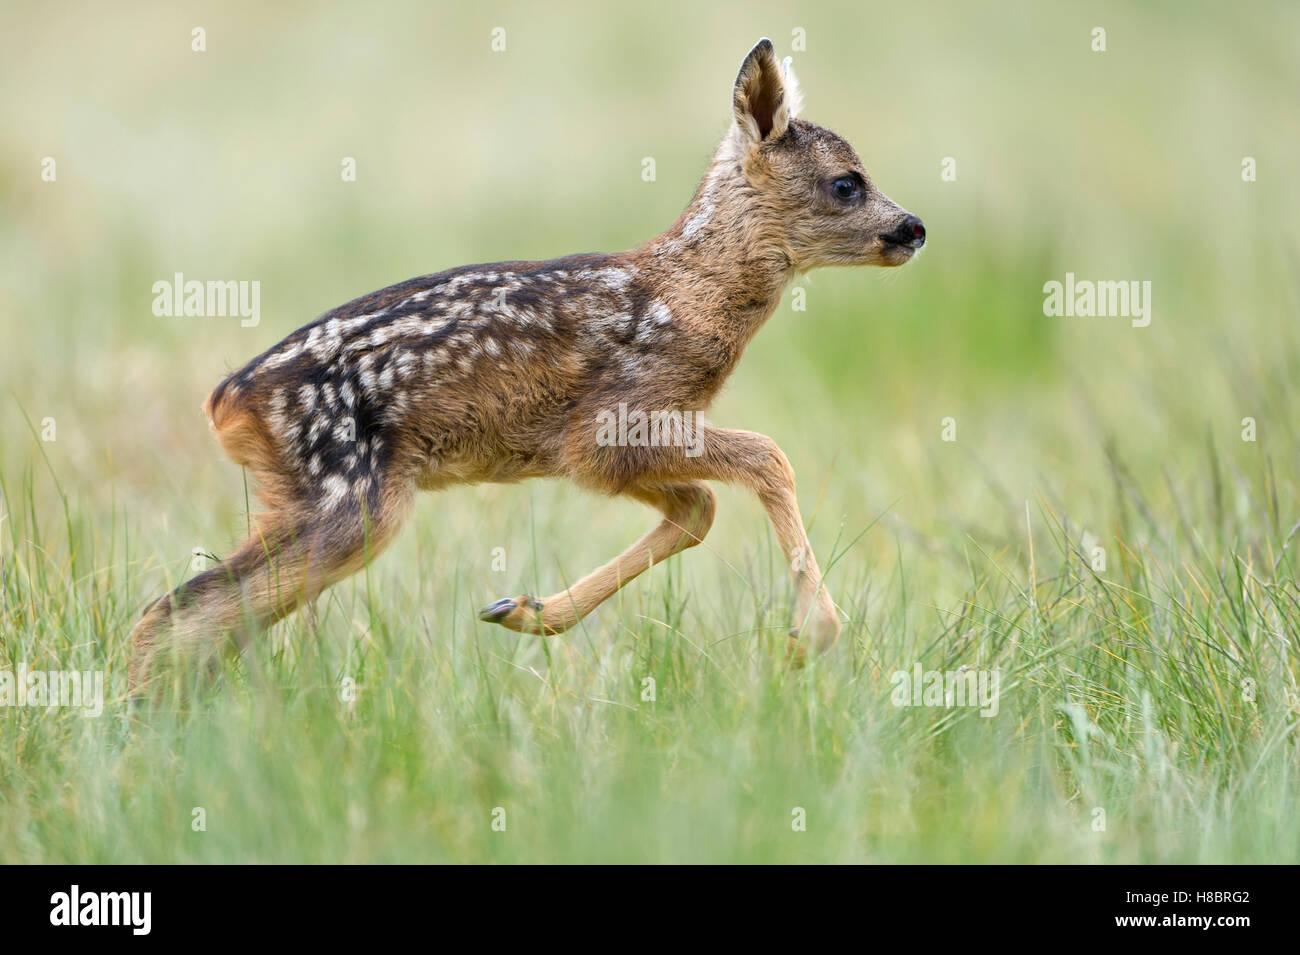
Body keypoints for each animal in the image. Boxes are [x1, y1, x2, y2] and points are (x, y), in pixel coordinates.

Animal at [127, 37, 925, 695]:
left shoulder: (594, 455)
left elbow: (698, 508)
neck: (687, 292)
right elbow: (767, 456)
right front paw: (810, 638)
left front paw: (519, 608)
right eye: (846, 182)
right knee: (175, 614)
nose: (914, 228)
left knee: (196, 617)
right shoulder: (611, 425)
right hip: (349, 499)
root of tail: (228, 403)